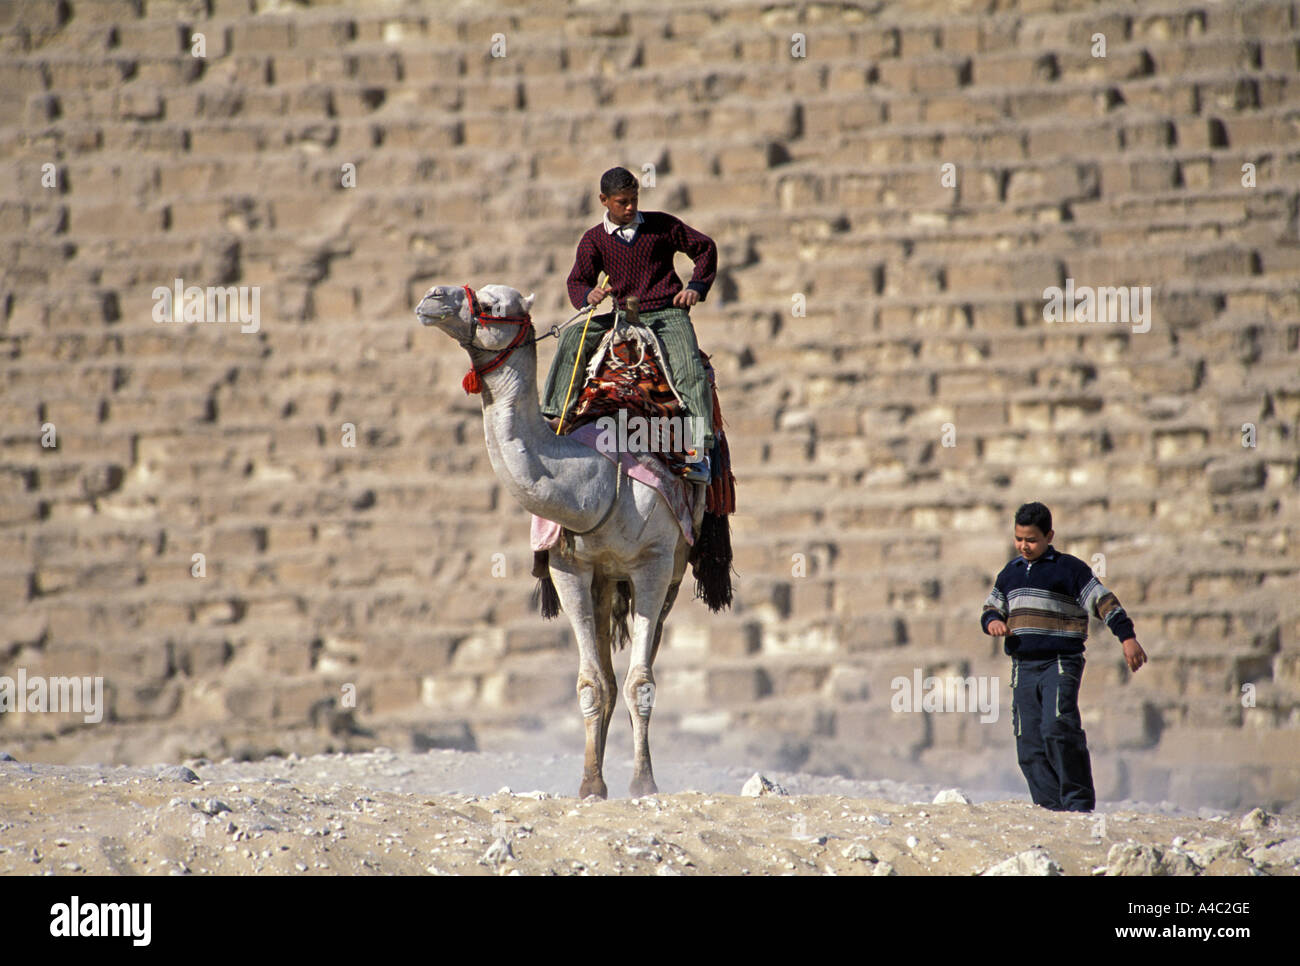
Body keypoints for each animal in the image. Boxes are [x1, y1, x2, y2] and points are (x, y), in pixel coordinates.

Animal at [415, 283, 712, 799]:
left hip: (673, 569)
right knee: (608, 673)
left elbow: (641, 682)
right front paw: (591, 784)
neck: (598, 481)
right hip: (604, 579)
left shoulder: (652, 563)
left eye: (491, 305)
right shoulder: (567, 567)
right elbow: (592, 683)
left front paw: (644, 782)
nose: (430, 298)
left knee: (644, 659)